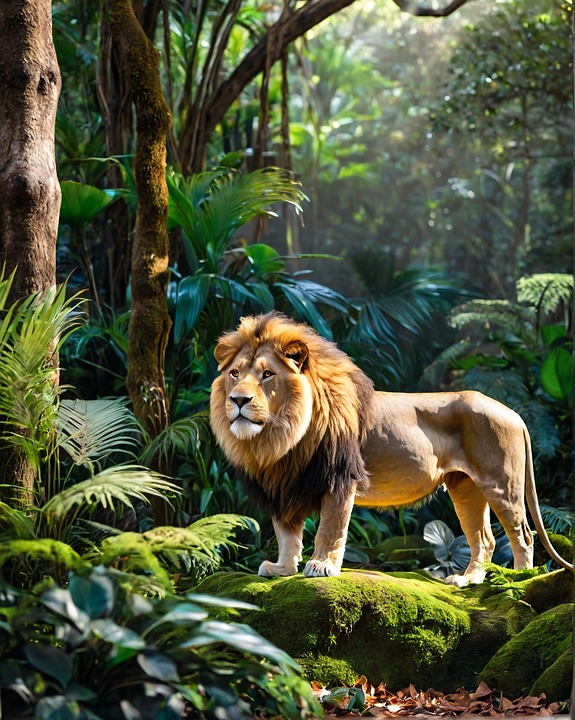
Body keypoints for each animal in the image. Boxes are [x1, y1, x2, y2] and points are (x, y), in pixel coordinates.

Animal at [210, 312, 573, 586]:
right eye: (235, 373)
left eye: (267, 374)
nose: (238, 400)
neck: (281, 435)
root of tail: (514, 413)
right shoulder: (283, 485)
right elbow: (286, 534)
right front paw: (282, 569)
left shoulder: (340, 478)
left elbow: (330, 528)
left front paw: (322, 566)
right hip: (465, 487)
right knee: (485, 538)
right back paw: (467, 580)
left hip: (501, 484)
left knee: (523, 535)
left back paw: (518, 580)